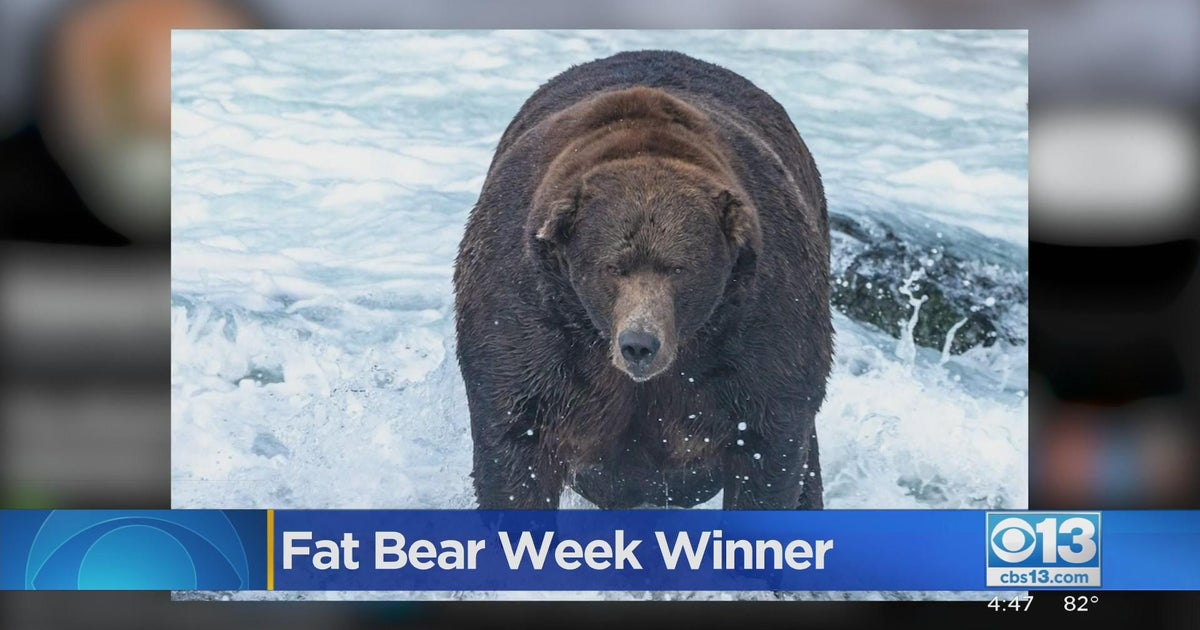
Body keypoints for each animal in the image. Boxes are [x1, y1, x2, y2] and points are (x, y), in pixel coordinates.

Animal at [454, 50, 832, 510]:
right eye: (612, 267)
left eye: (679, 268)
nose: (639, 344)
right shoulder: (530, 314)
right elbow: (516, 445)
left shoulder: (761, 321)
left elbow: (767, 448)